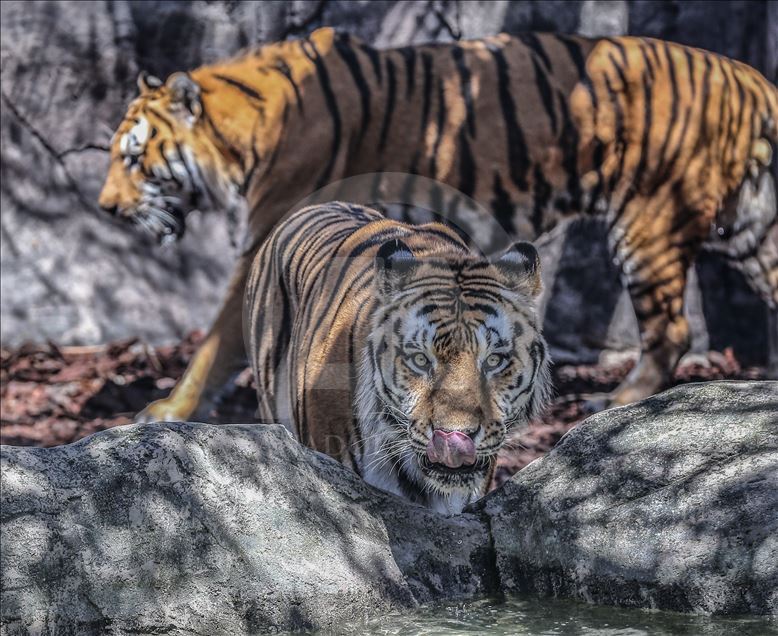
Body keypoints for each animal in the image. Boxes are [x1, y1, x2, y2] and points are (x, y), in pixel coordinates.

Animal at [97, 27, 778, 423]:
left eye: (132, 157)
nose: (104, 207)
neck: (247, 131)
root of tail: (747, 75)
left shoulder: (269, 235)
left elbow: (215, 340)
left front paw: (167, 409)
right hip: (755, 229)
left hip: (649, 220)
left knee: (671, 328)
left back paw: (617, 400)